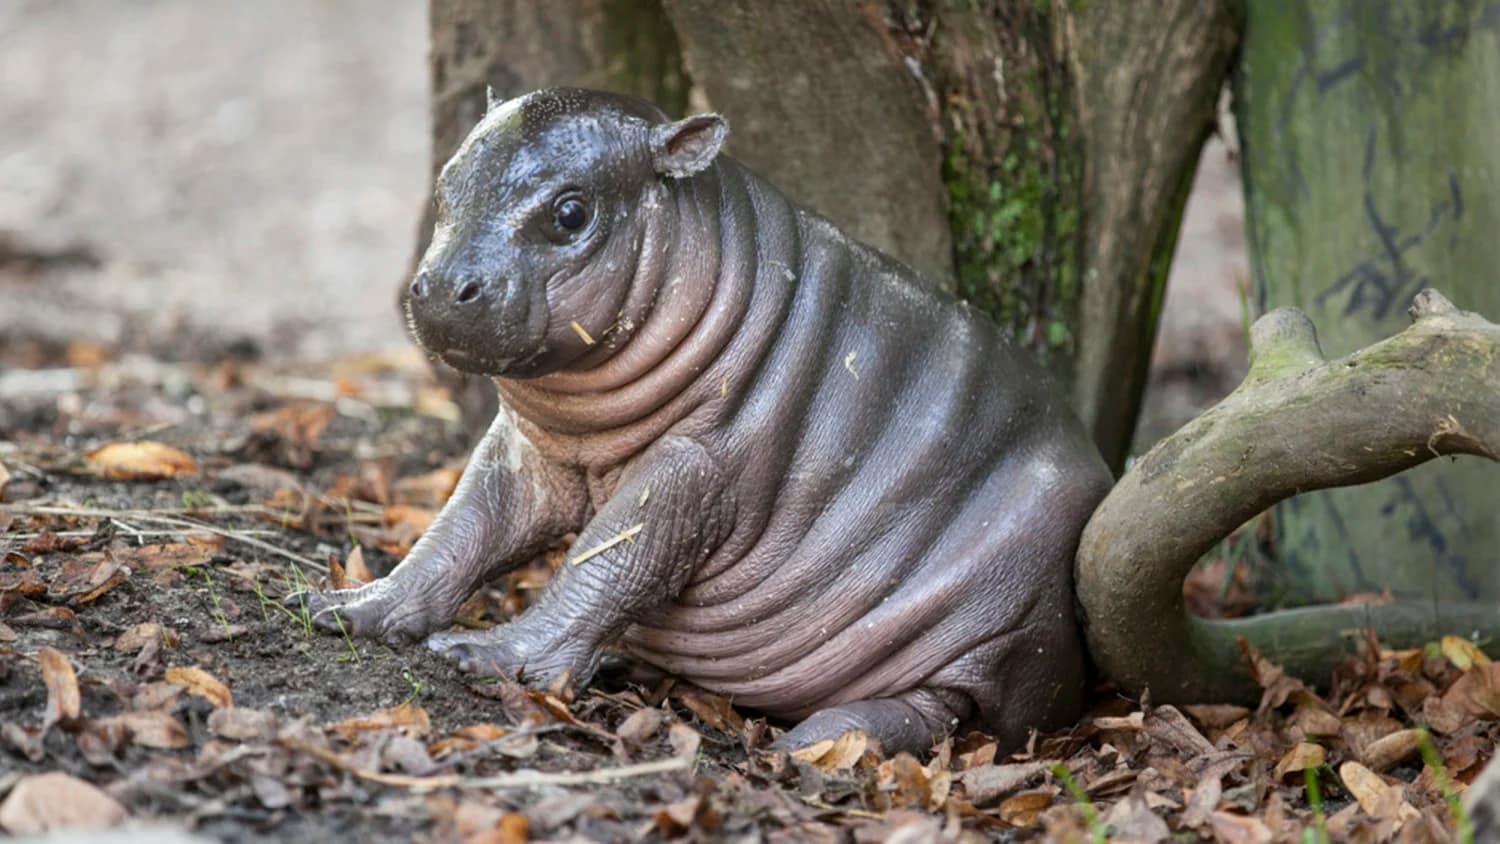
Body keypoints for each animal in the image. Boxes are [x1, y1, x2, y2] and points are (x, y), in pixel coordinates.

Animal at [294, 87, 1113, 754]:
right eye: (445, 183)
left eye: (571, 211)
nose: (439, 287)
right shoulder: (526, 449)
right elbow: (460, 530)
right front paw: (342, 607)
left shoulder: (699, 467)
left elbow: (611, 560)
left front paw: (483, 656)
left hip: (1005, 627)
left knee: (941, 712)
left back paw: (810, 747)